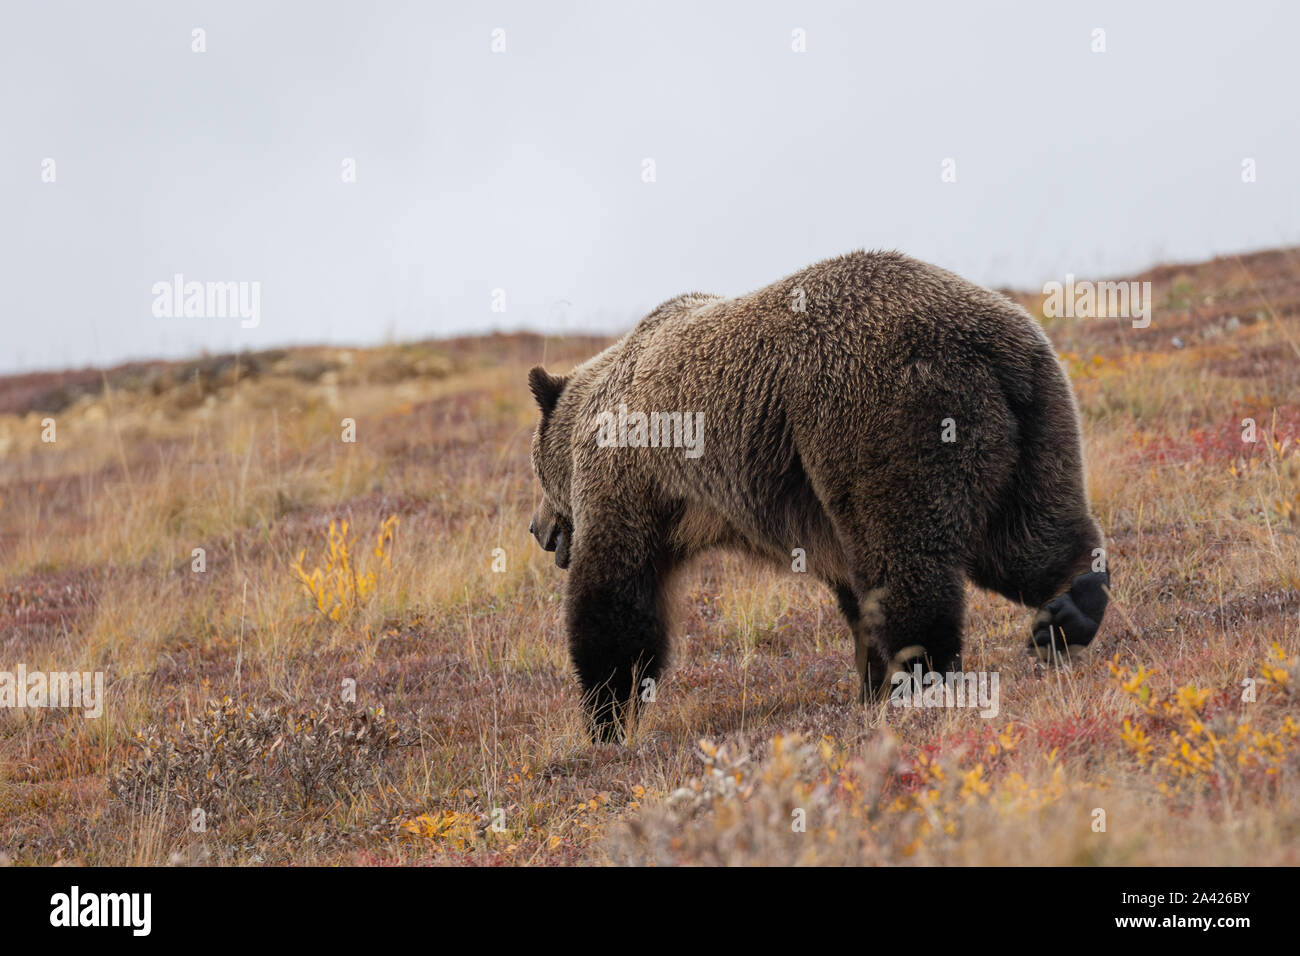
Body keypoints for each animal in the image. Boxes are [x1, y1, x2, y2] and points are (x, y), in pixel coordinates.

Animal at [527, 250, 1110, 743]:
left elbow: (615, 595)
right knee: (1028, 536)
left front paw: (604, 720)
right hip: (1036, 414)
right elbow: (853, 593)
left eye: (534, 472)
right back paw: (1069, 608)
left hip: (876, 418)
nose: (538, 529)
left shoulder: (632, 484)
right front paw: (868, 684)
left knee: (907, 563)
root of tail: (985, 341)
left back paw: (926, 677)